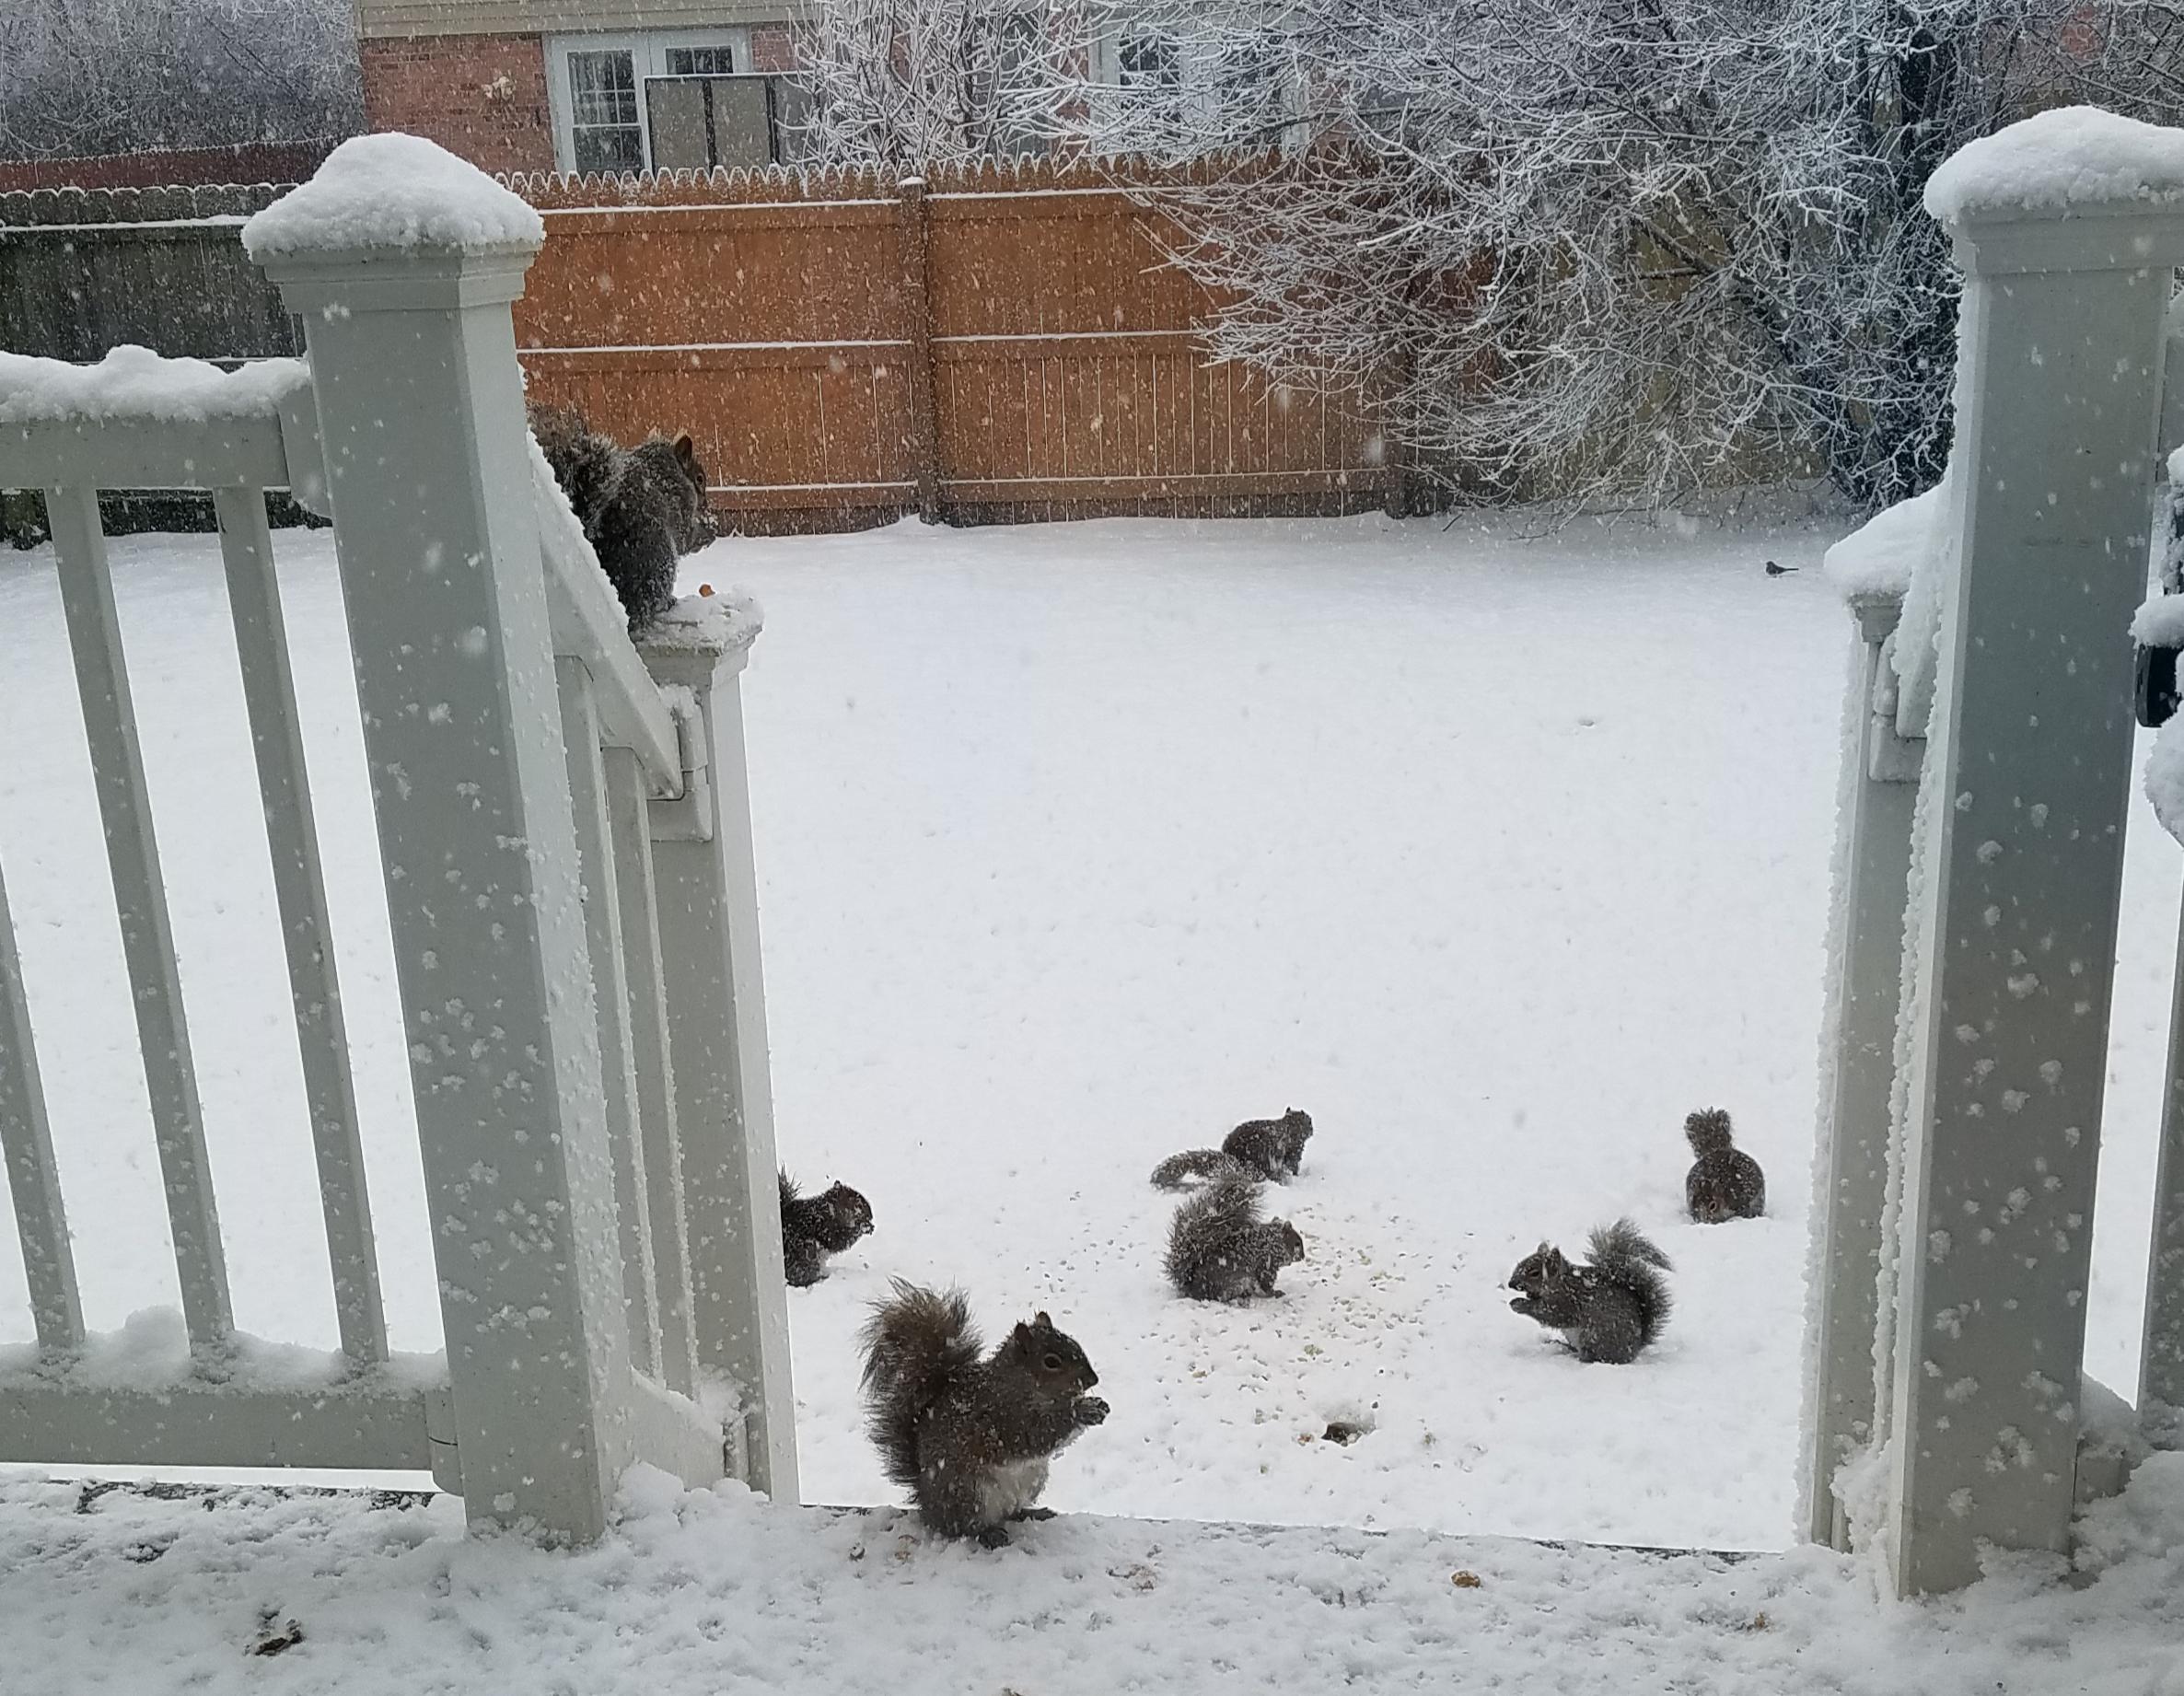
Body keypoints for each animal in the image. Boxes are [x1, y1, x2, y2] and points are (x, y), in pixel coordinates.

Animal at [859, 1280, 1108, 1547]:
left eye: (1075, 1344)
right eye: (1051, 1361)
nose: (1093, 1380)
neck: (1021, 1383)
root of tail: (928, 1504)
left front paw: (1097, 1405)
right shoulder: (1004, 1416)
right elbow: (1036, 1435)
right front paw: (1082, 1410)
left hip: (1033, 1482)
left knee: (1011, 1512)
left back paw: (1032, 1513)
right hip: (969, 1492)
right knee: (963, 1527)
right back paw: (988, 1534)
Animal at [1150, 1107, 1314, 1189]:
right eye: (1309, 1121)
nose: (1312, 1130)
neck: (1289, 1126)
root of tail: (1235, 1162)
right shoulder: (1294, 1150)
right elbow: (1293, 1165)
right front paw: (1298, 1176)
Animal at [1164, 1174, 1304, 1301]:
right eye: (1297, 1243)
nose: (1303, 1256)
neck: (1274, 1242)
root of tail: (1191, 1289)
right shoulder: (1267, 1263)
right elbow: (1266, 1284)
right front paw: (1275, 1293)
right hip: (1236, 1282)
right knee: (1221, 1297)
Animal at [1506, 1218, 1672, 1364]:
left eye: (1534, 1273)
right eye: (1520, 1263)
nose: (1510, 1283)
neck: (1559, 1282)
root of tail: (1633, 1351)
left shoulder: (1565, 1300)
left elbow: (1551, 1314)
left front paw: (1519, 1304)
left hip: (1593, 1336)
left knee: (1595, 1357)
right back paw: (1563, 1347)